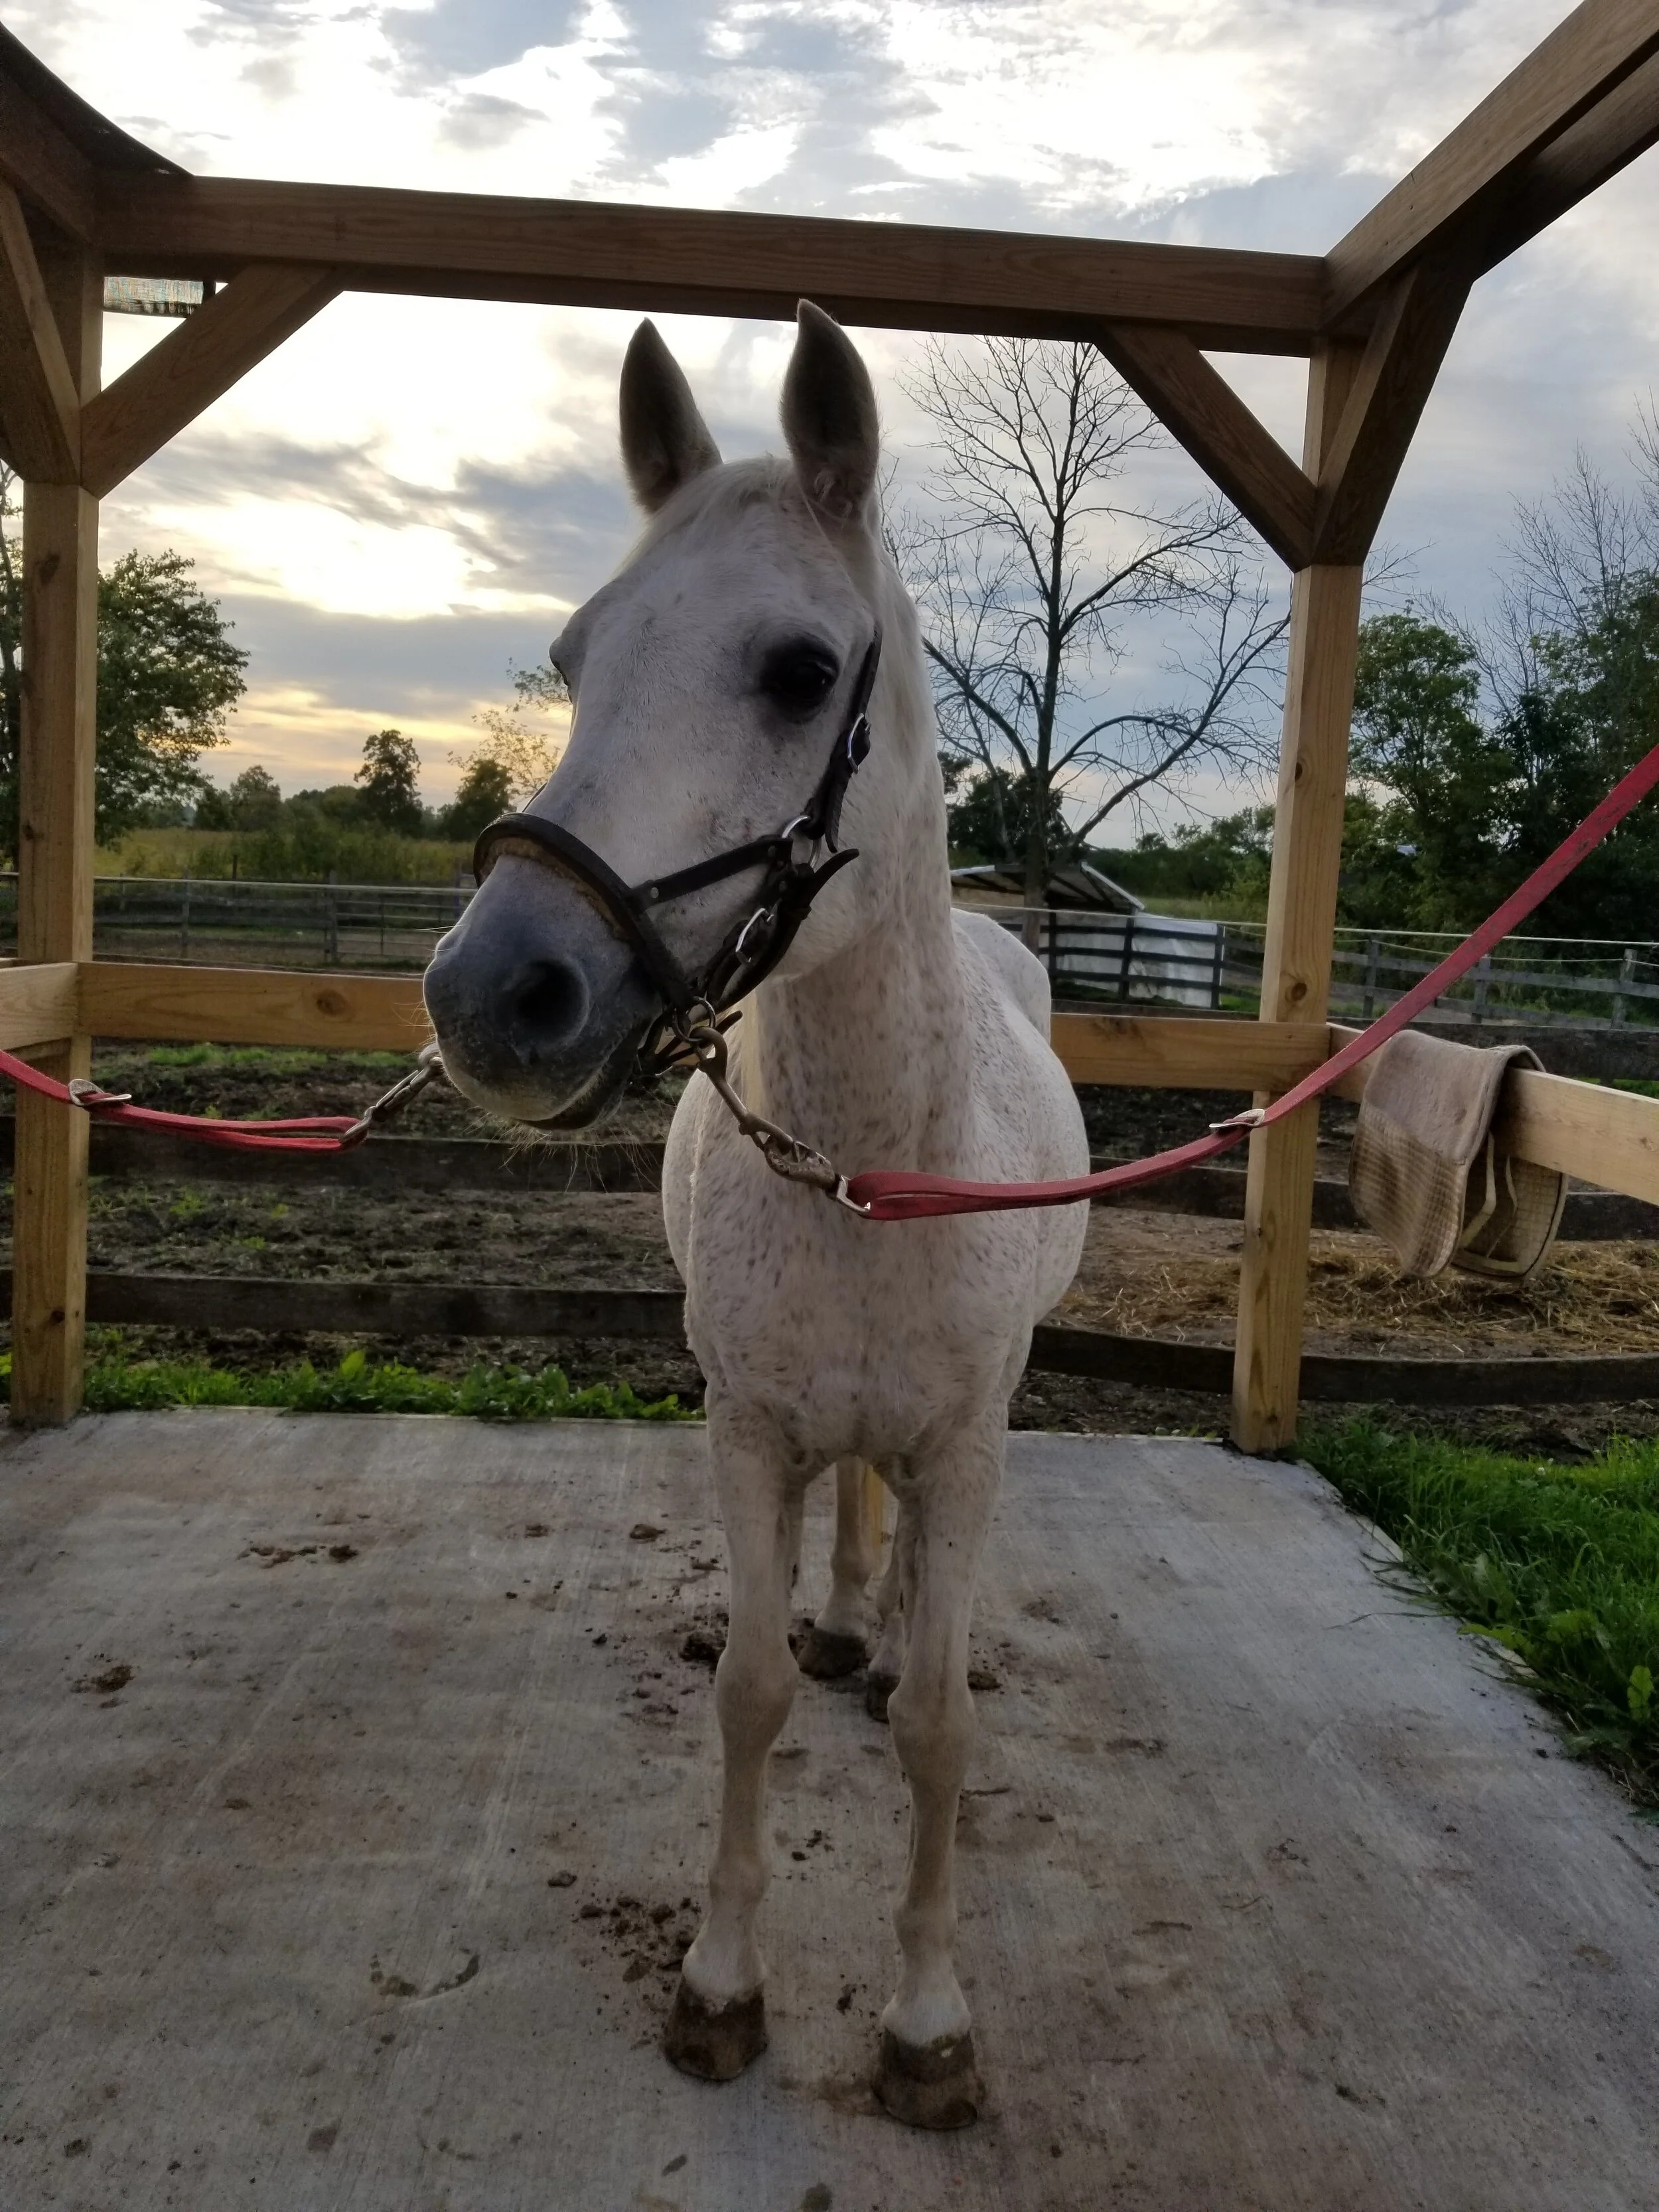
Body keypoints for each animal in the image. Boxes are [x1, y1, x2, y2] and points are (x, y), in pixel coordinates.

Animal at [422, 301, 1089, 2128]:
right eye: (576, 655)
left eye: (797, 671)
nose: (492, 994)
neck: (870, 1162)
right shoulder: (747, 1432)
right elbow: (749, 1688)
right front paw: (722, 1983)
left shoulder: (970, 1450)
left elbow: (939, 1721)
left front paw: (926, 2021)